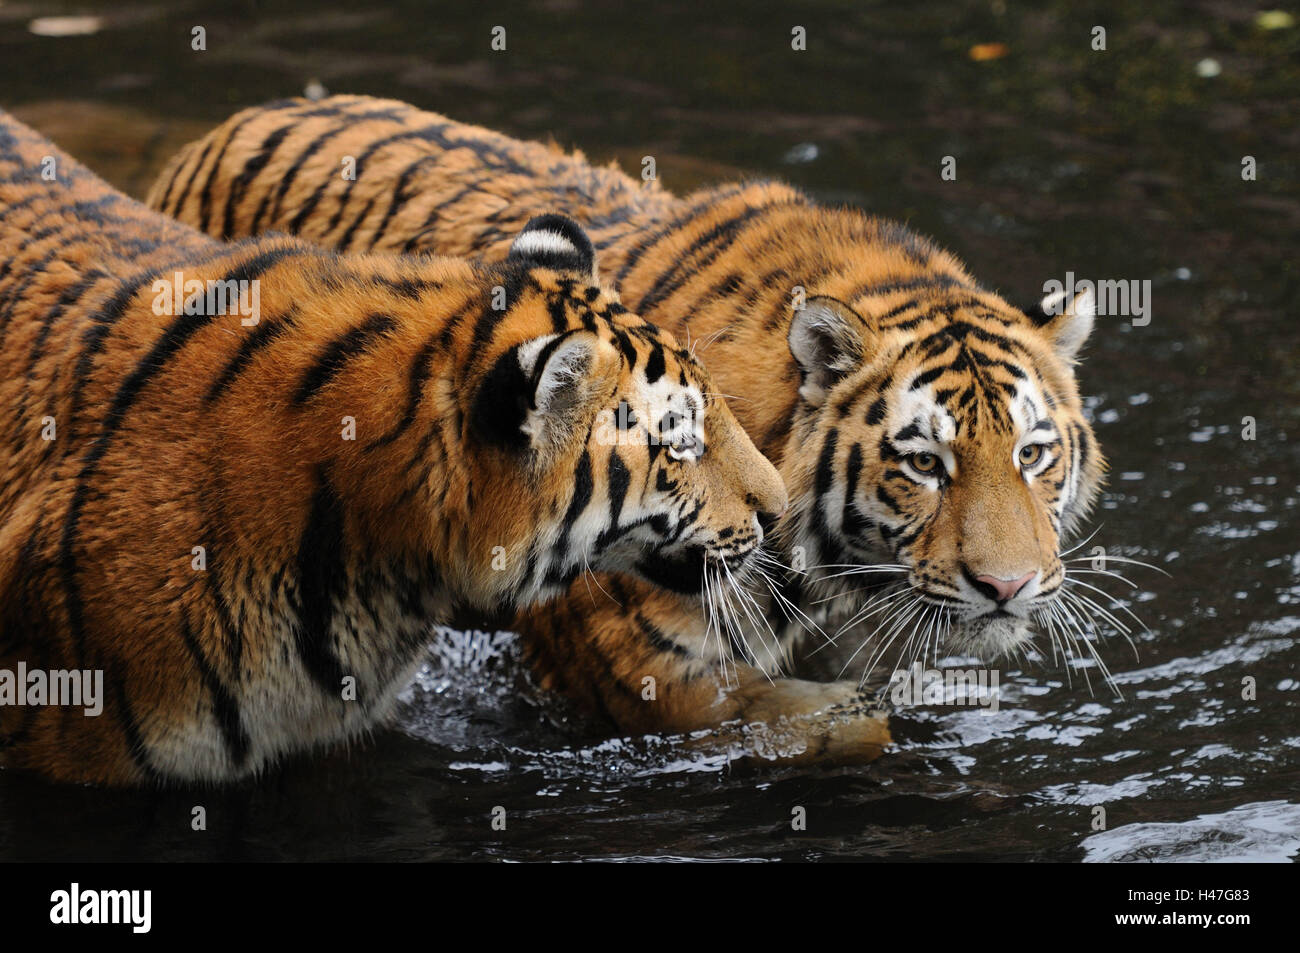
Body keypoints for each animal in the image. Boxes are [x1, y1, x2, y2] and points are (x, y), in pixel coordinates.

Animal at [148, 95, 1106, 759]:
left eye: (1033, 455)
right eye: (926, 463)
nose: (1009, 587)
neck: (836, 585)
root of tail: (229, 125)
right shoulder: (648, 674)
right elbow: (832, 725)